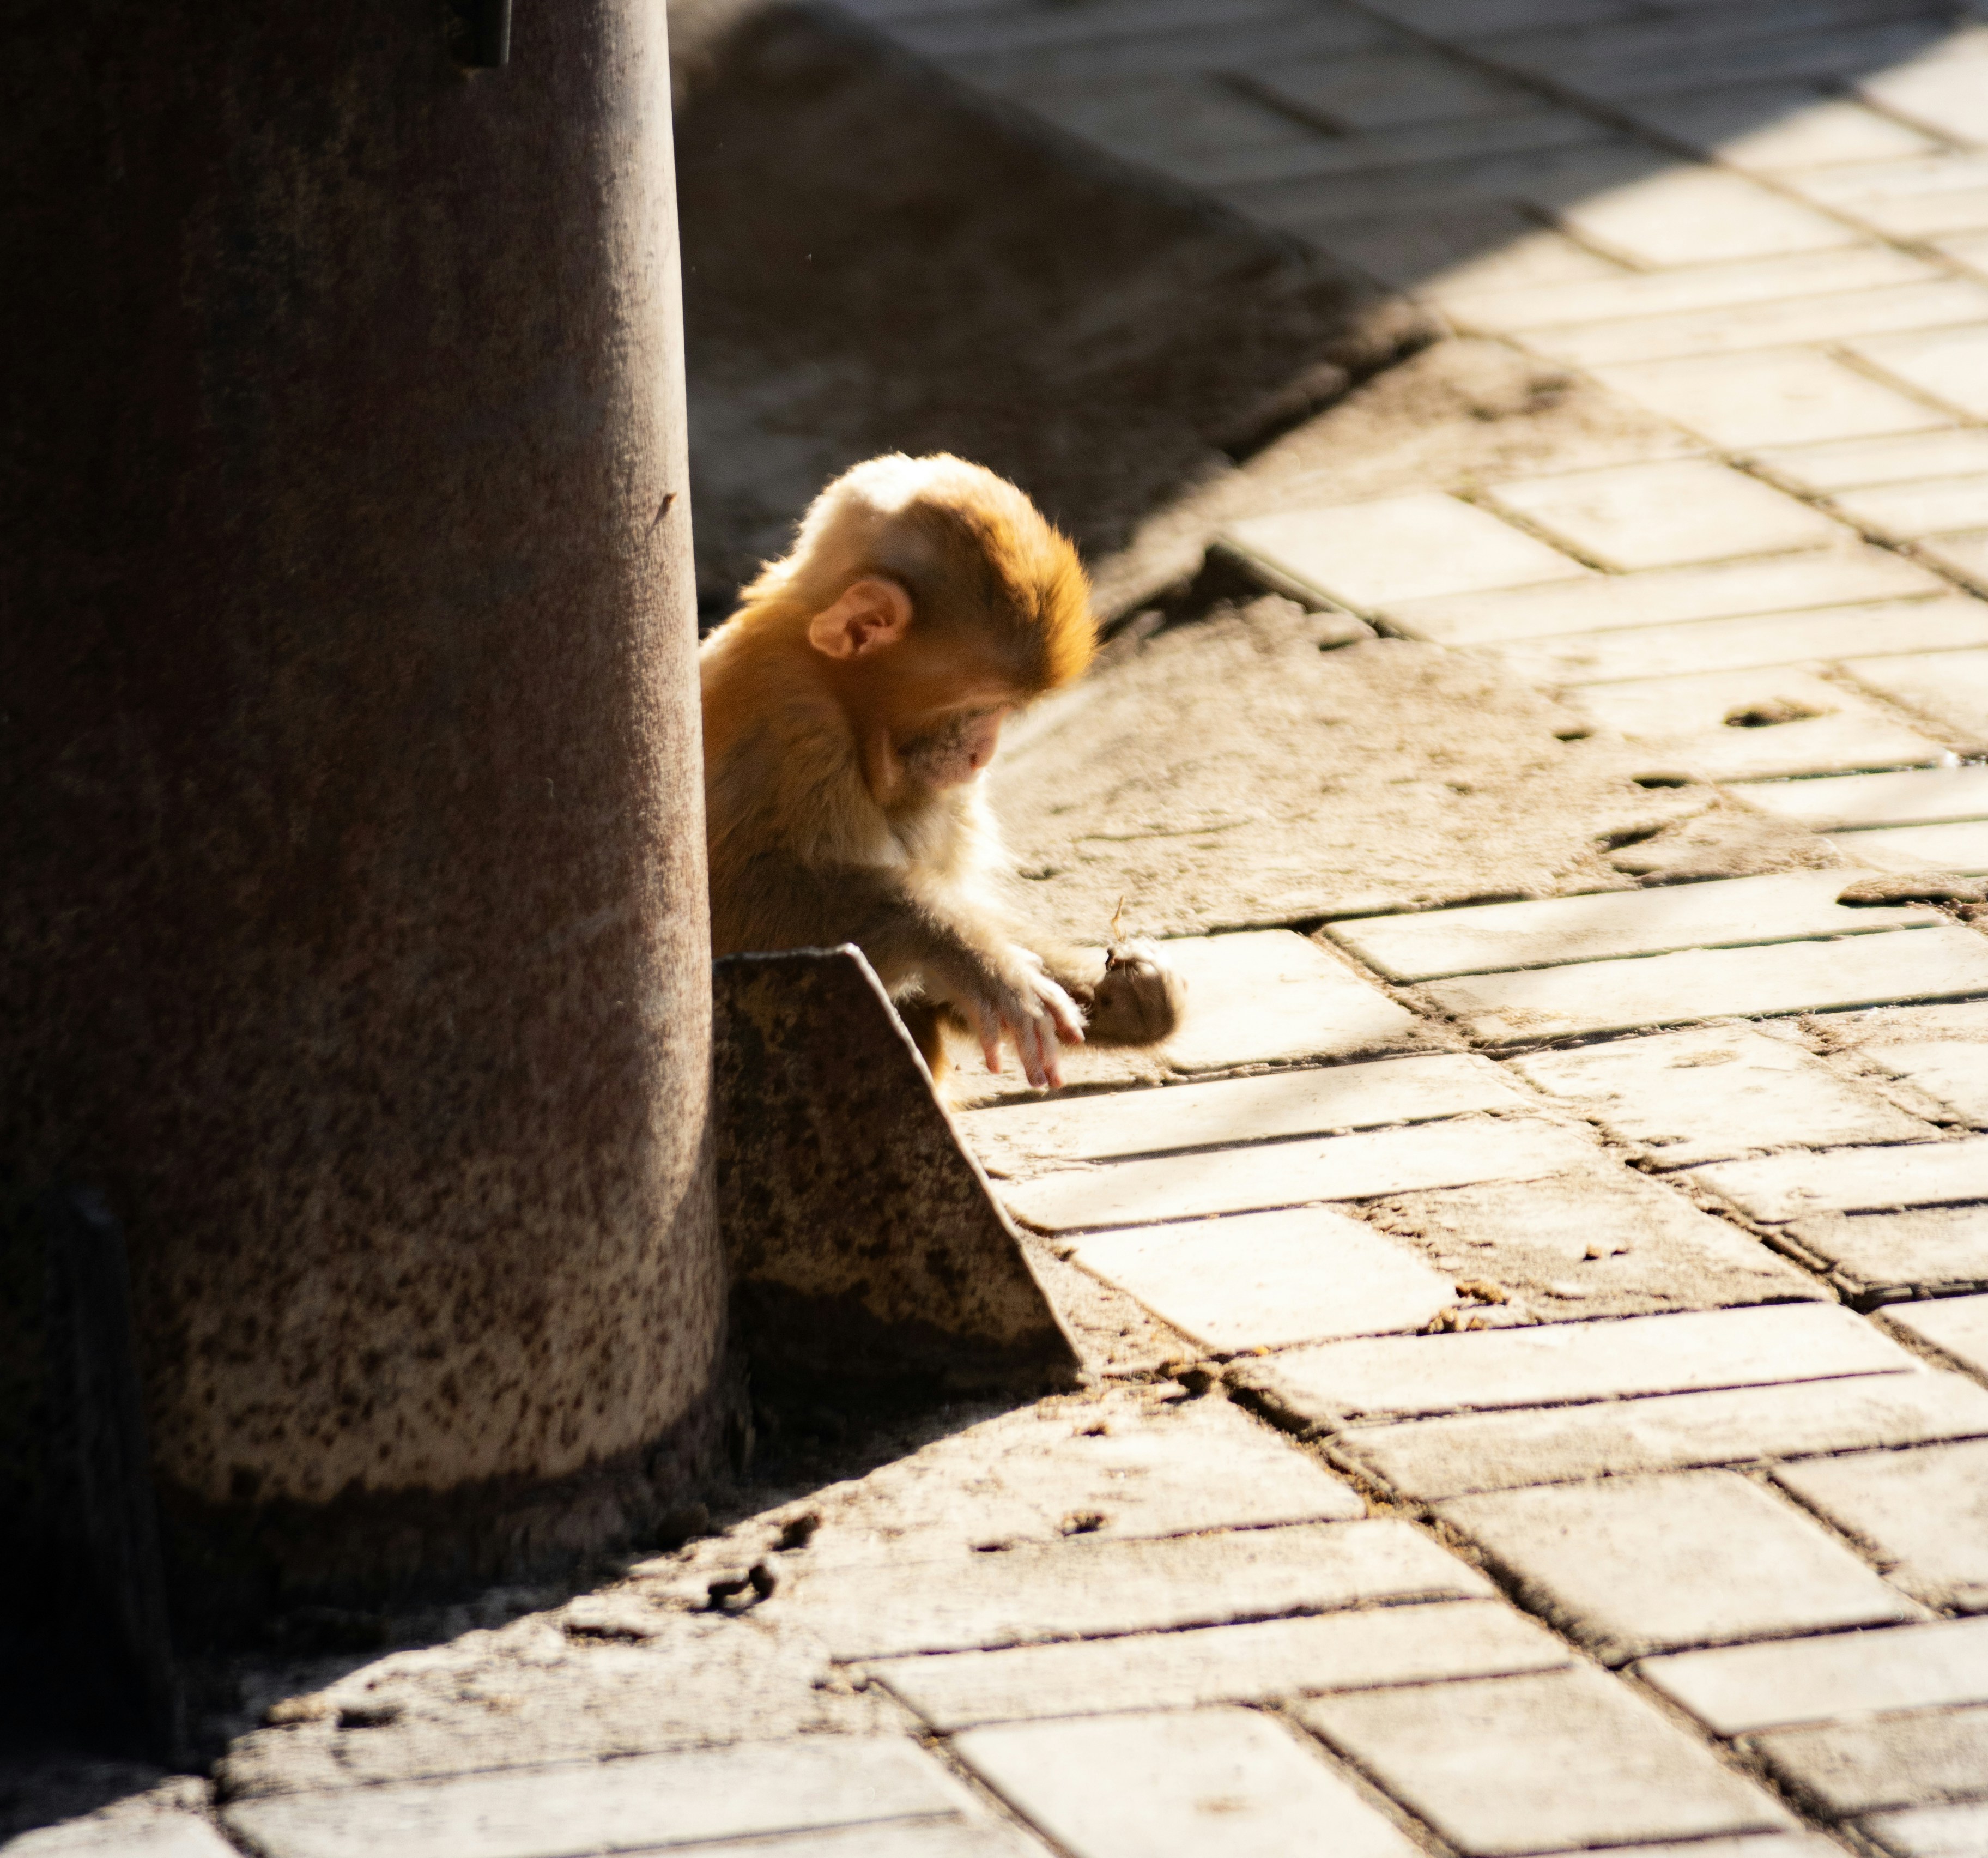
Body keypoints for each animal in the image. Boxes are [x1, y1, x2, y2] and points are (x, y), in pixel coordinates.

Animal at [699, 453, 1183, 1091]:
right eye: (982, 706)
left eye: (1008, 711)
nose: (983, 754)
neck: (839, 696)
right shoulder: (790, 726)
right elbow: (725, 913)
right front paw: (962, 948)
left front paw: (1123, 997)